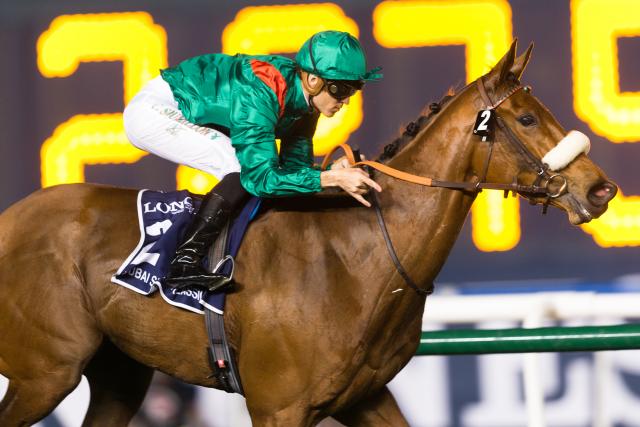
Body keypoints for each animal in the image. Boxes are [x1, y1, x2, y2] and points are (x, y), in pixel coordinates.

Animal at [0, 40, 617, 426]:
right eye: (528, 119)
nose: (601, 191)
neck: (356, 257)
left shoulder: (365, 396)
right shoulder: (278, 406)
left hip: (117, 375)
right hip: (45, 370)